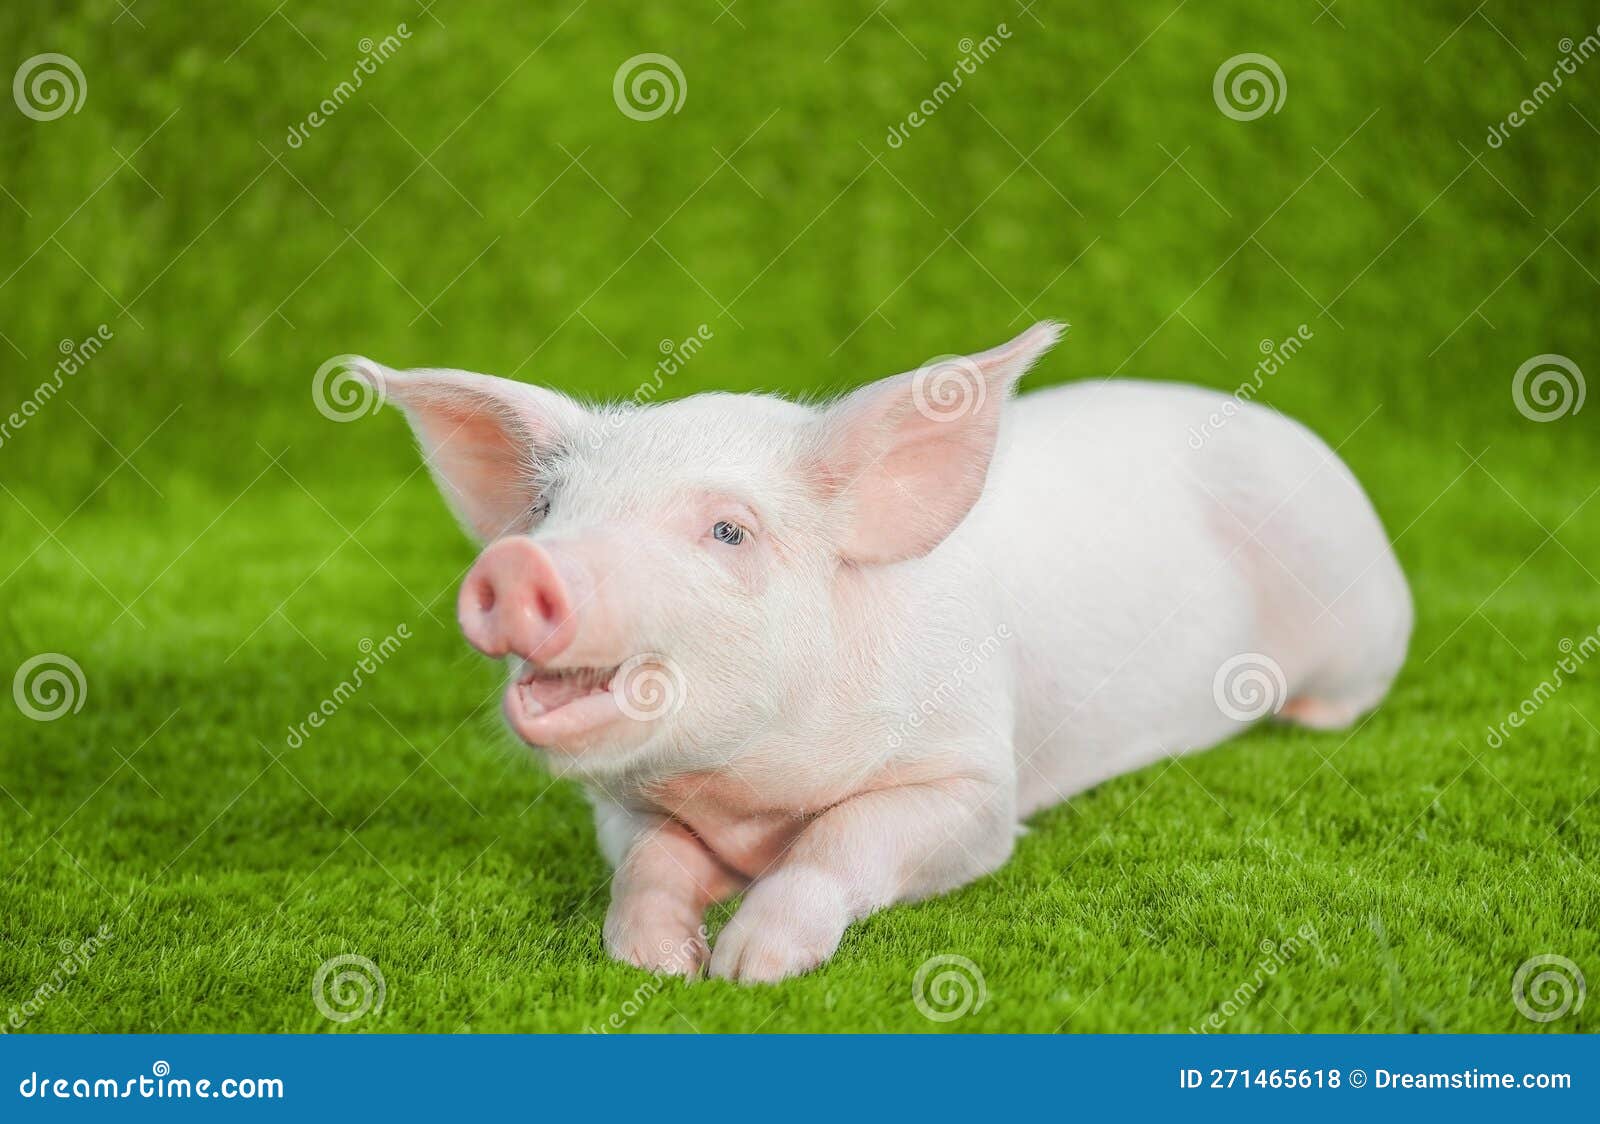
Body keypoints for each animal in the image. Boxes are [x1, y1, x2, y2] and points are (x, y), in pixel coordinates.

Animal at [352, 321, 1411, 982]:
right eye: (547, 506)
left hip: (1361, 626)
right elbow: (648, 862)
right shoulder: (621, 807)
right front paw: (658, 964)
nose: (518, 562)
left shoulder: (978, 786)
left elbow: (849, 836)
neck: (749, 802)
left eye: (729, 532)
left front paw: (749, 970)